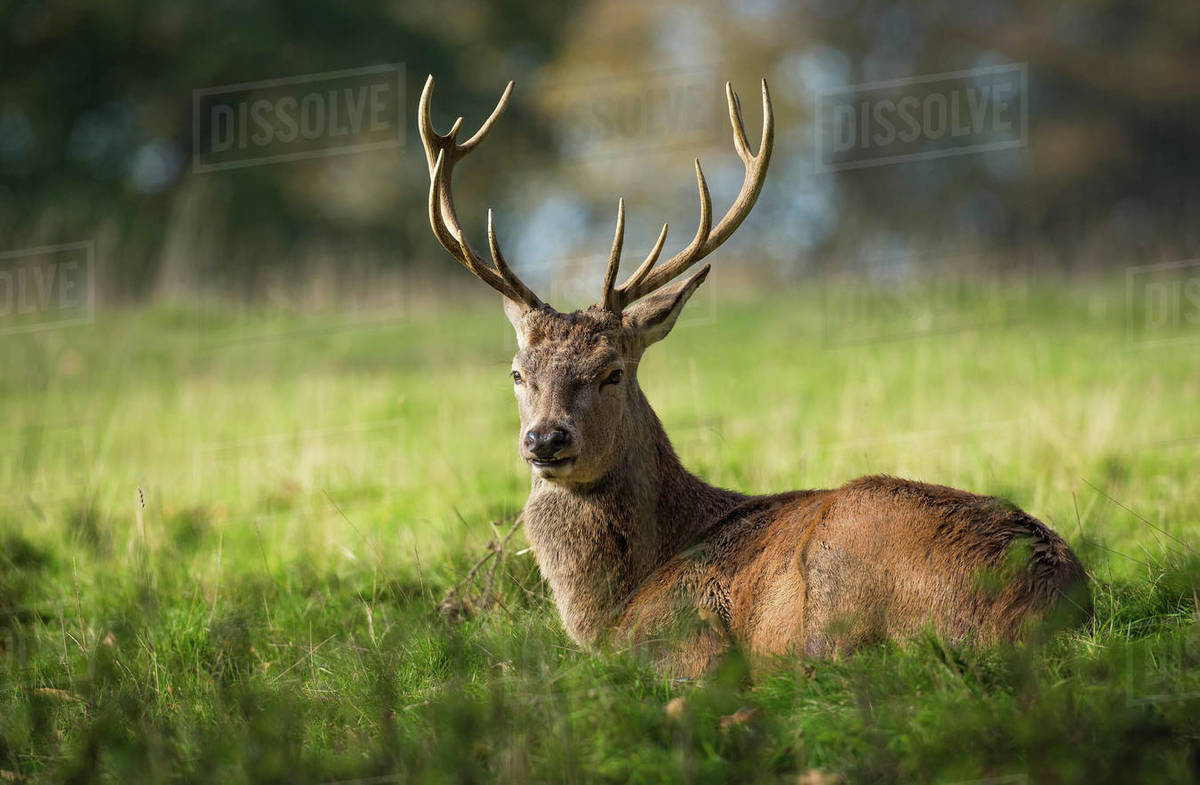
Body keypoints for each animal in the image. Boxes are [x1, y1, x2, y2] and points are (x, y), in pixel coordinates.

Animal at [418, 75, 1090, 678]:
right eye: (516, 373)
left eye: (611, 373)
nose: (545, 439)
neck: (616, 603)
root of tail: (1059, 603)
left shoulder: (685, 637)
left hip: (839, 572)